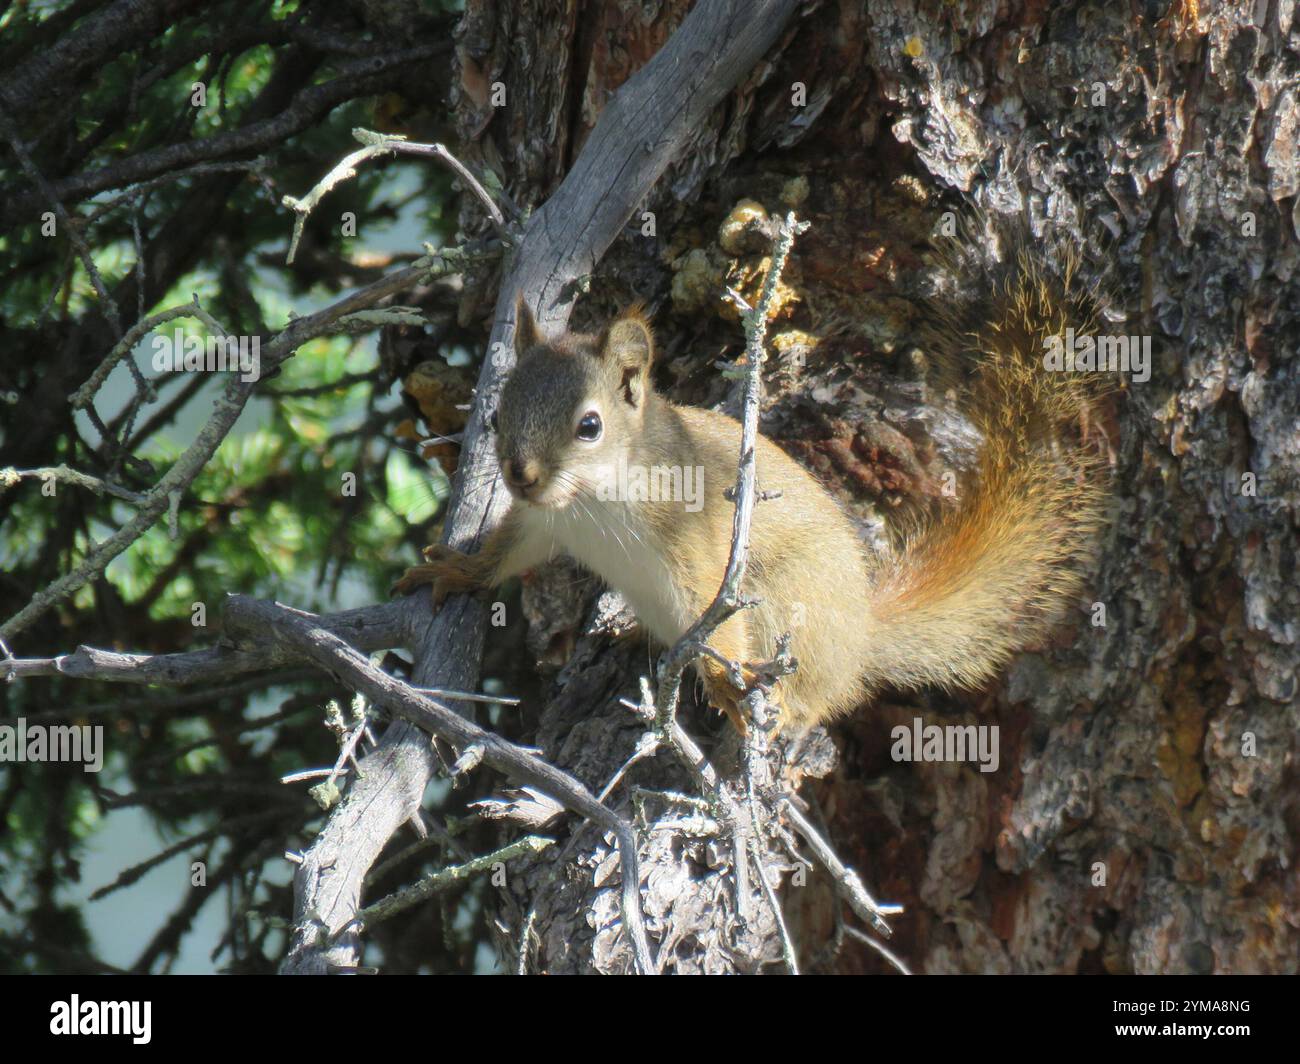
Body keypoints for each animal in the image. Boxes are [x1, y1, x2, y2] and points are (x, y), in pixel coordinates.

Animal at [394, 228, 1111, 732]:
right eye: (498, 412)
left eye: (589, 426)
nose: (521, 476)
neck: (592, 502)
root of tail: (861, 638)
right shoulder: (546, 522)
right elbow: (507, 550)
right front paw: (456, 569)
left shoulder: (690, 539)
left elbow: (711, 611)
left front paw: (725, 683)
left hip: (787, 607)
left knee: (815, 694)